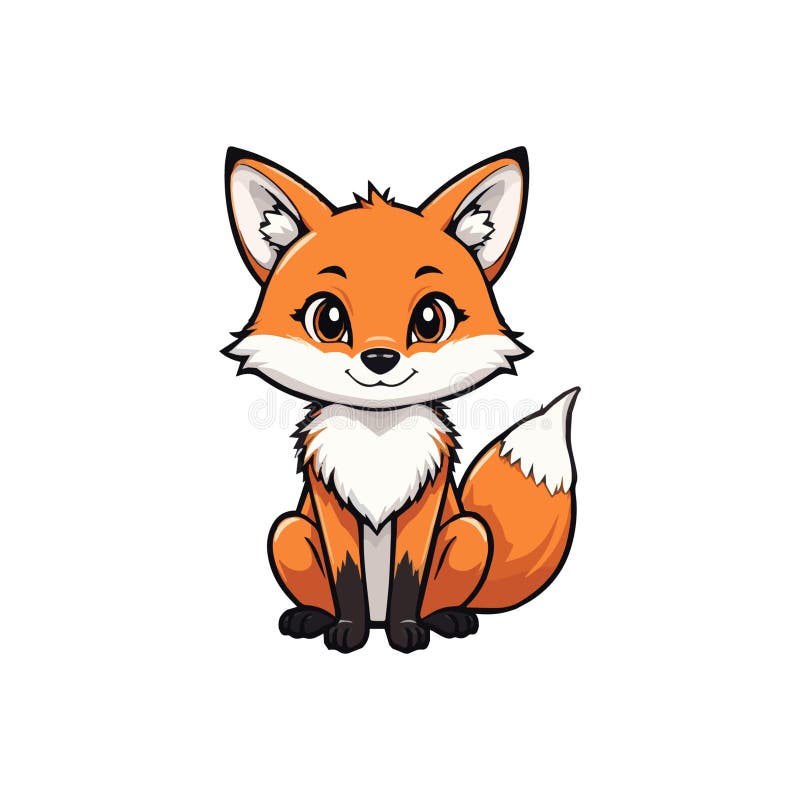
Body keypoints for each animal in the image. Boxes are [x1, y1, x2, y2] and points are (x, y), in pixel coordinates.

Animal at [222, 146, 579, 653]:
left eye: (430, 319)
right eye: (328, 319)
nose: (380, 358)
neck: (378, 438)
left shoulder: (424, 504)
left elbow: (409, 578)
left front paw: (407, 631)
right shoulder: (330, 505)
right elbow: (347, 579)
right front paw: (347, 631)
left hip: (469, 533)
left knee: (444, 594)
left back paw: (448, 617)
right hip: (287, 532)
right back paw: (312, 617)